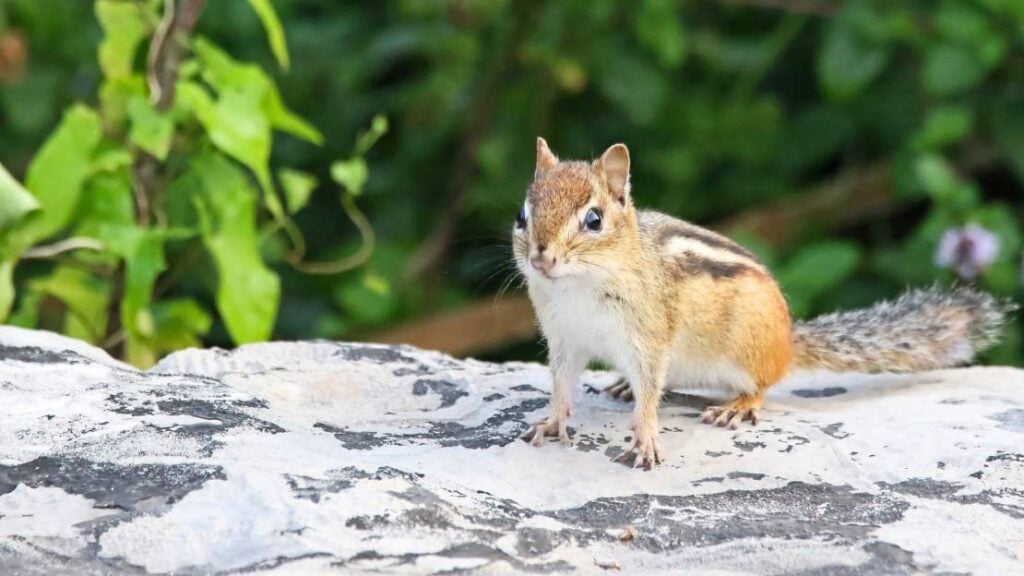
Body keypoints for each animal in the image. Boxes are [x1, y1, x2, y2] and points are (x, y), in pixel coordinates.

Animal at [514, 137, 1015, 469]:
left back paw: (738, 405)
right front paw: (551, 421)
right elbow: (562, 386)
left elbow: (650, 394)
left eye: (594, 220)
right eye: (523, 214)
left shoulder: (648, 340)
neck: (579, 288)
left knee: (763, 384)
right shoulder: (565, 340)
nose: (542, 257)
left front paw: (646, 437)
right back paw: (622, 386)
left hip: (746, 354)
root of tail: (788, 340)